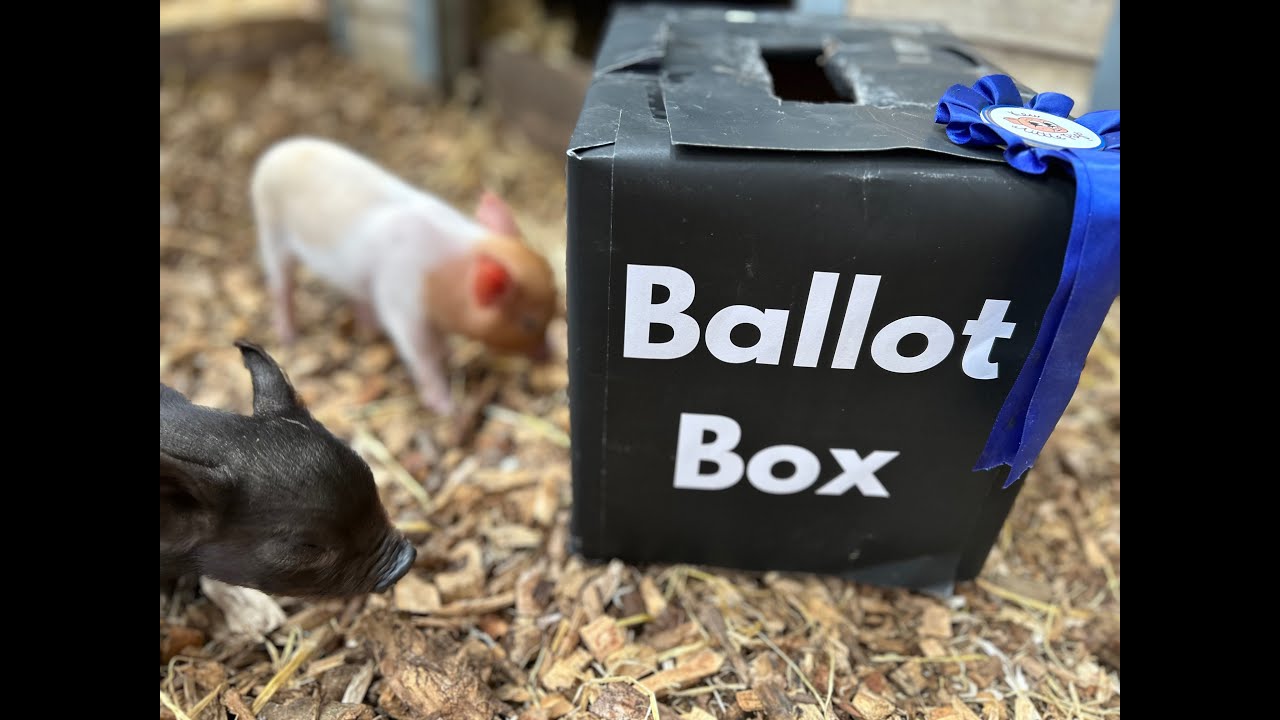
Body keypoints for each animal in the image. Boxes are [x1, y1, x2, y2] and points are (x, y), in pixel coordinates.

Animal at [249, 136, 559, 416]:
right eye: (529, 322)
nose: (550, 355)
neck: (441, 271)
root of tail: (273, 153)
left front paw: (448, 354)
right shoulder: (402, 307)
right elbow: (423, 355)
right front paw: (448, 408)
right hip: (271, 229)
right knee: (281, 285)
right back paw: (289, 336)